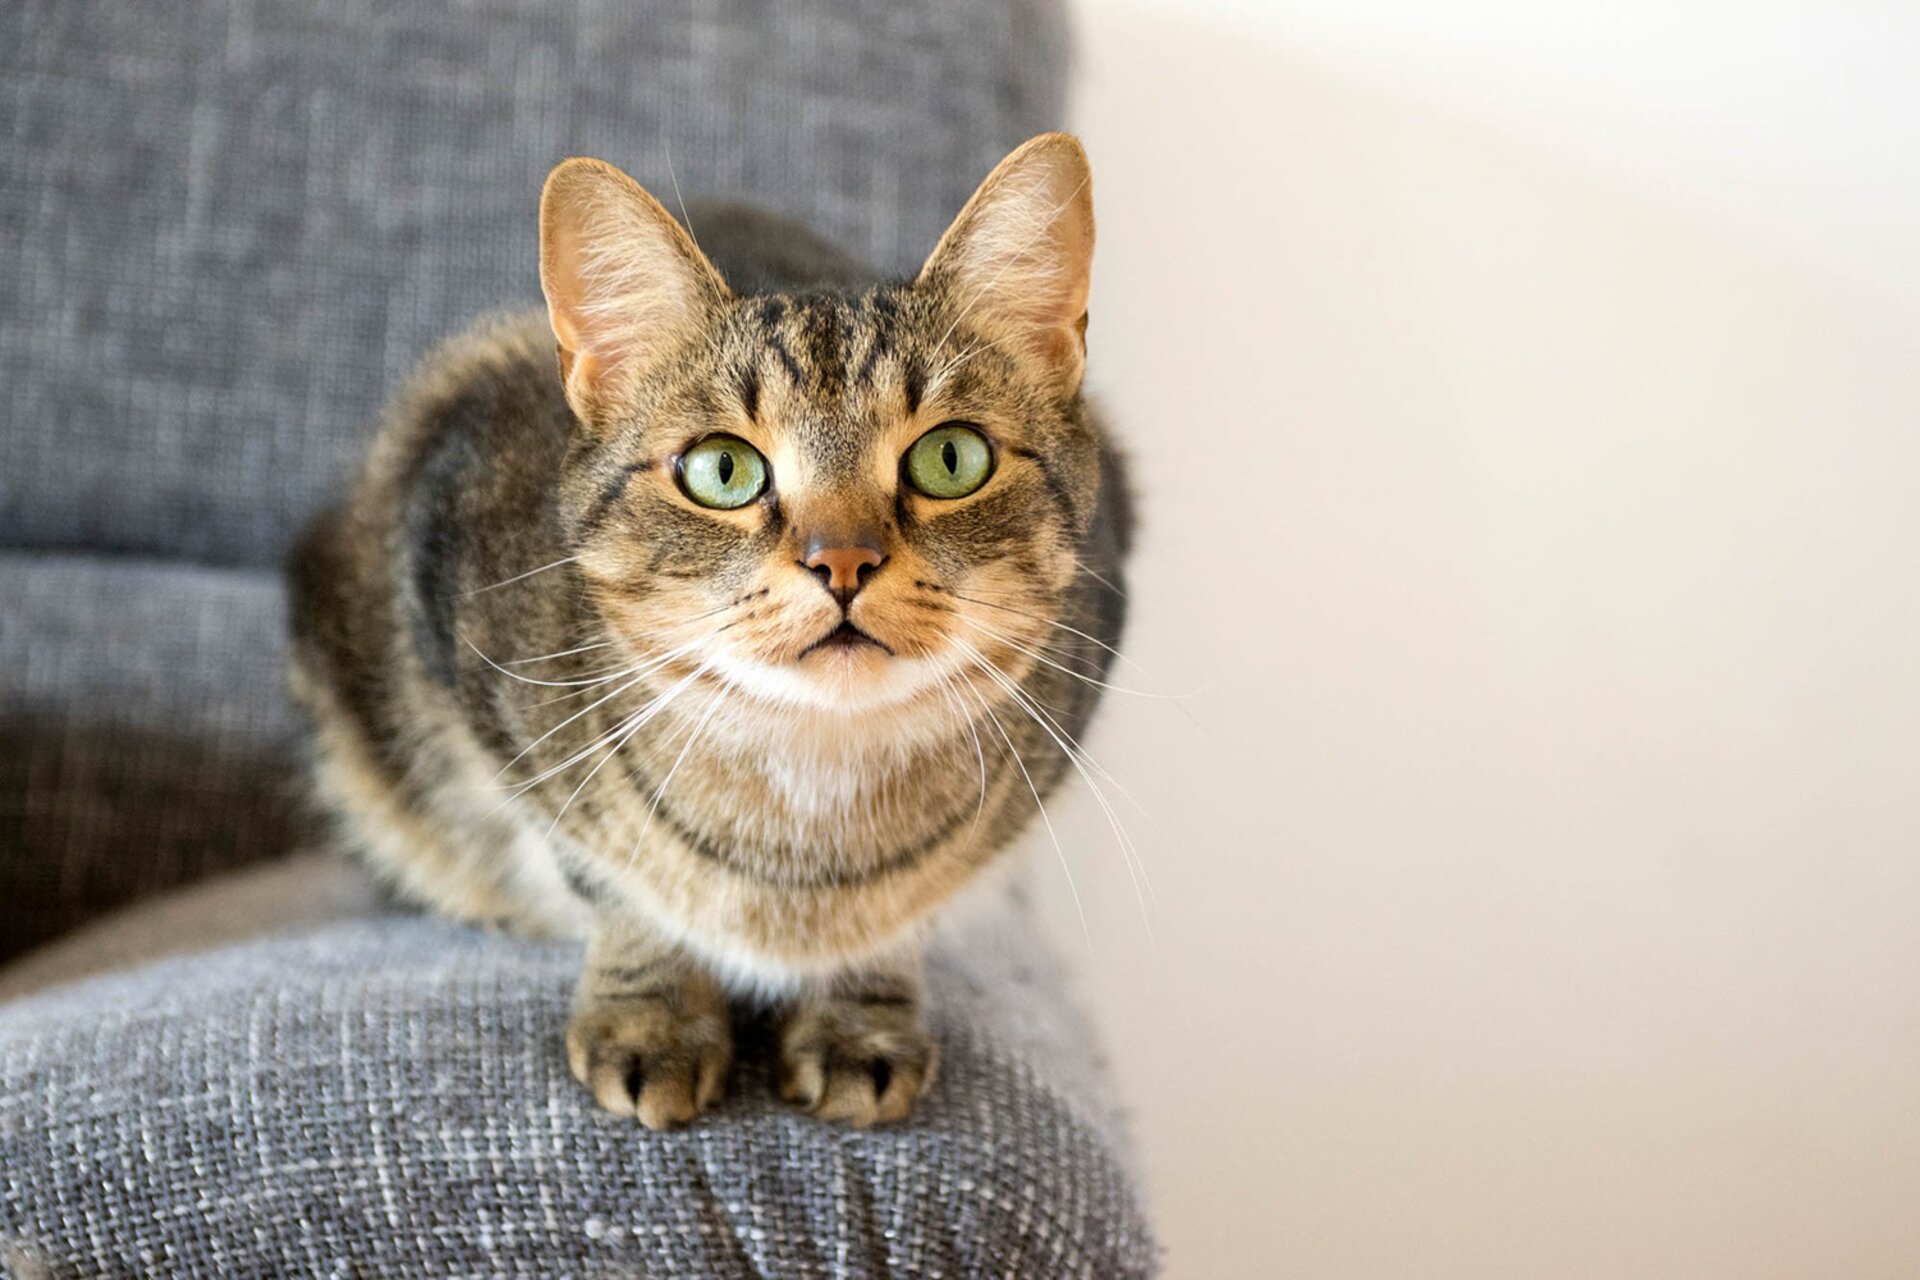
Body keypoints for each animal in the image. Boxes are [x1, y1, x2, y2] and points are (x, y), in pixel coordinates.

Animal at [284, 132, 1121, 1128]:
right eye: (723, 470)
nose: (843, 561)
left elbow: (899, 919)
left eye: (951, 458)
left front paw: (860, 1018)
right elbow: (618, 888)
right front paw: (653, 1020)